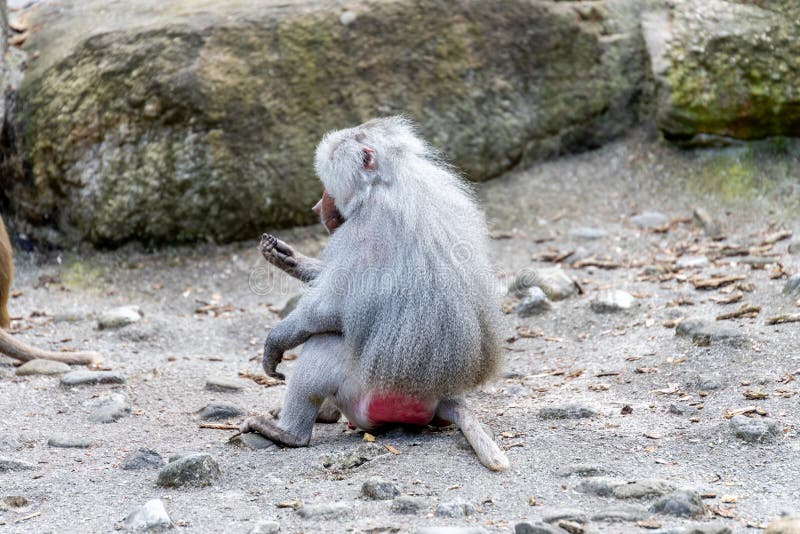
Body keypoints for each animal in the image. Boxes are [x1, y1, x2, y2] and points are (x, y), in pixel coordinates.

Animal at [242, 117, 509, 471]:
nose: (317, 206)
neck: (389, 181)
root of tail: (441, 396)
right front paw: (289, 258)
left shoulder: (366, 230)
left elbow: (331, 308)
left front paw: (275, 341)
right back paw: (319, 415)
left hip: (368, 390)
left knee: (325, 343)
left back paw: (286, 433)